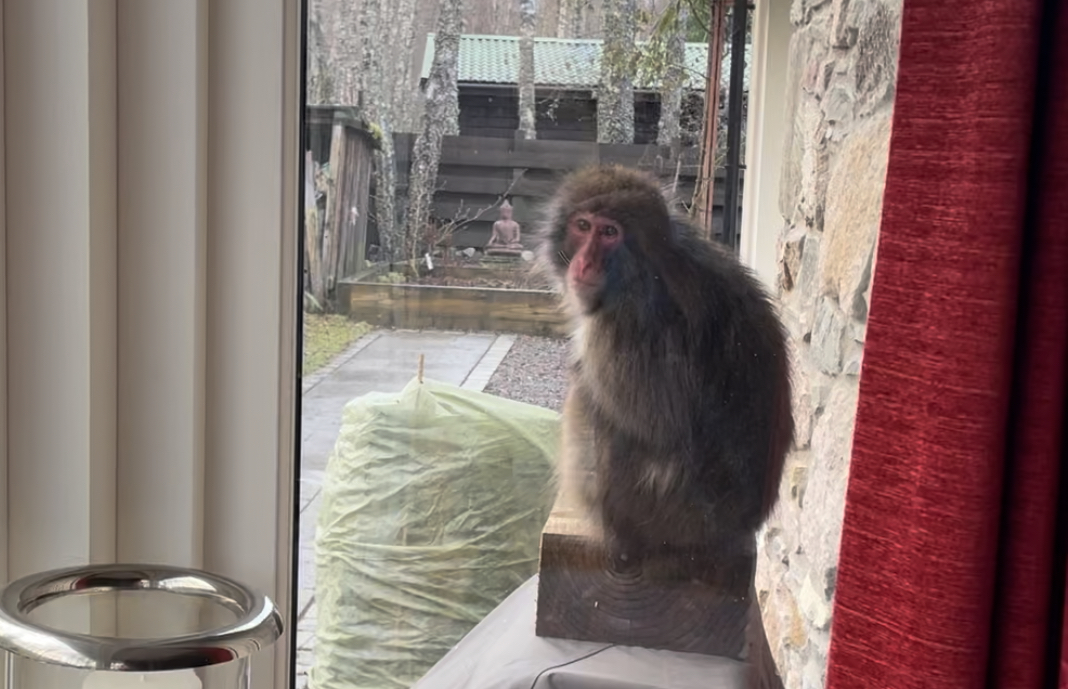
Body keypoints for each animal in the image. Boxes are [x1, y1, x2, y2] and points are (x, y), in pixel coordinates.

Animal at [535, 165, 794, 582]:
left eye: (610, 232)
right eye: (583, 226)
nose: (585, 264)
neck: (649, 264)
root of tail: (740, 523)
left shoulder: (624, 322)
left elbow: (654, 424)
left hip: (663, 512)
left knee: (593, 404)